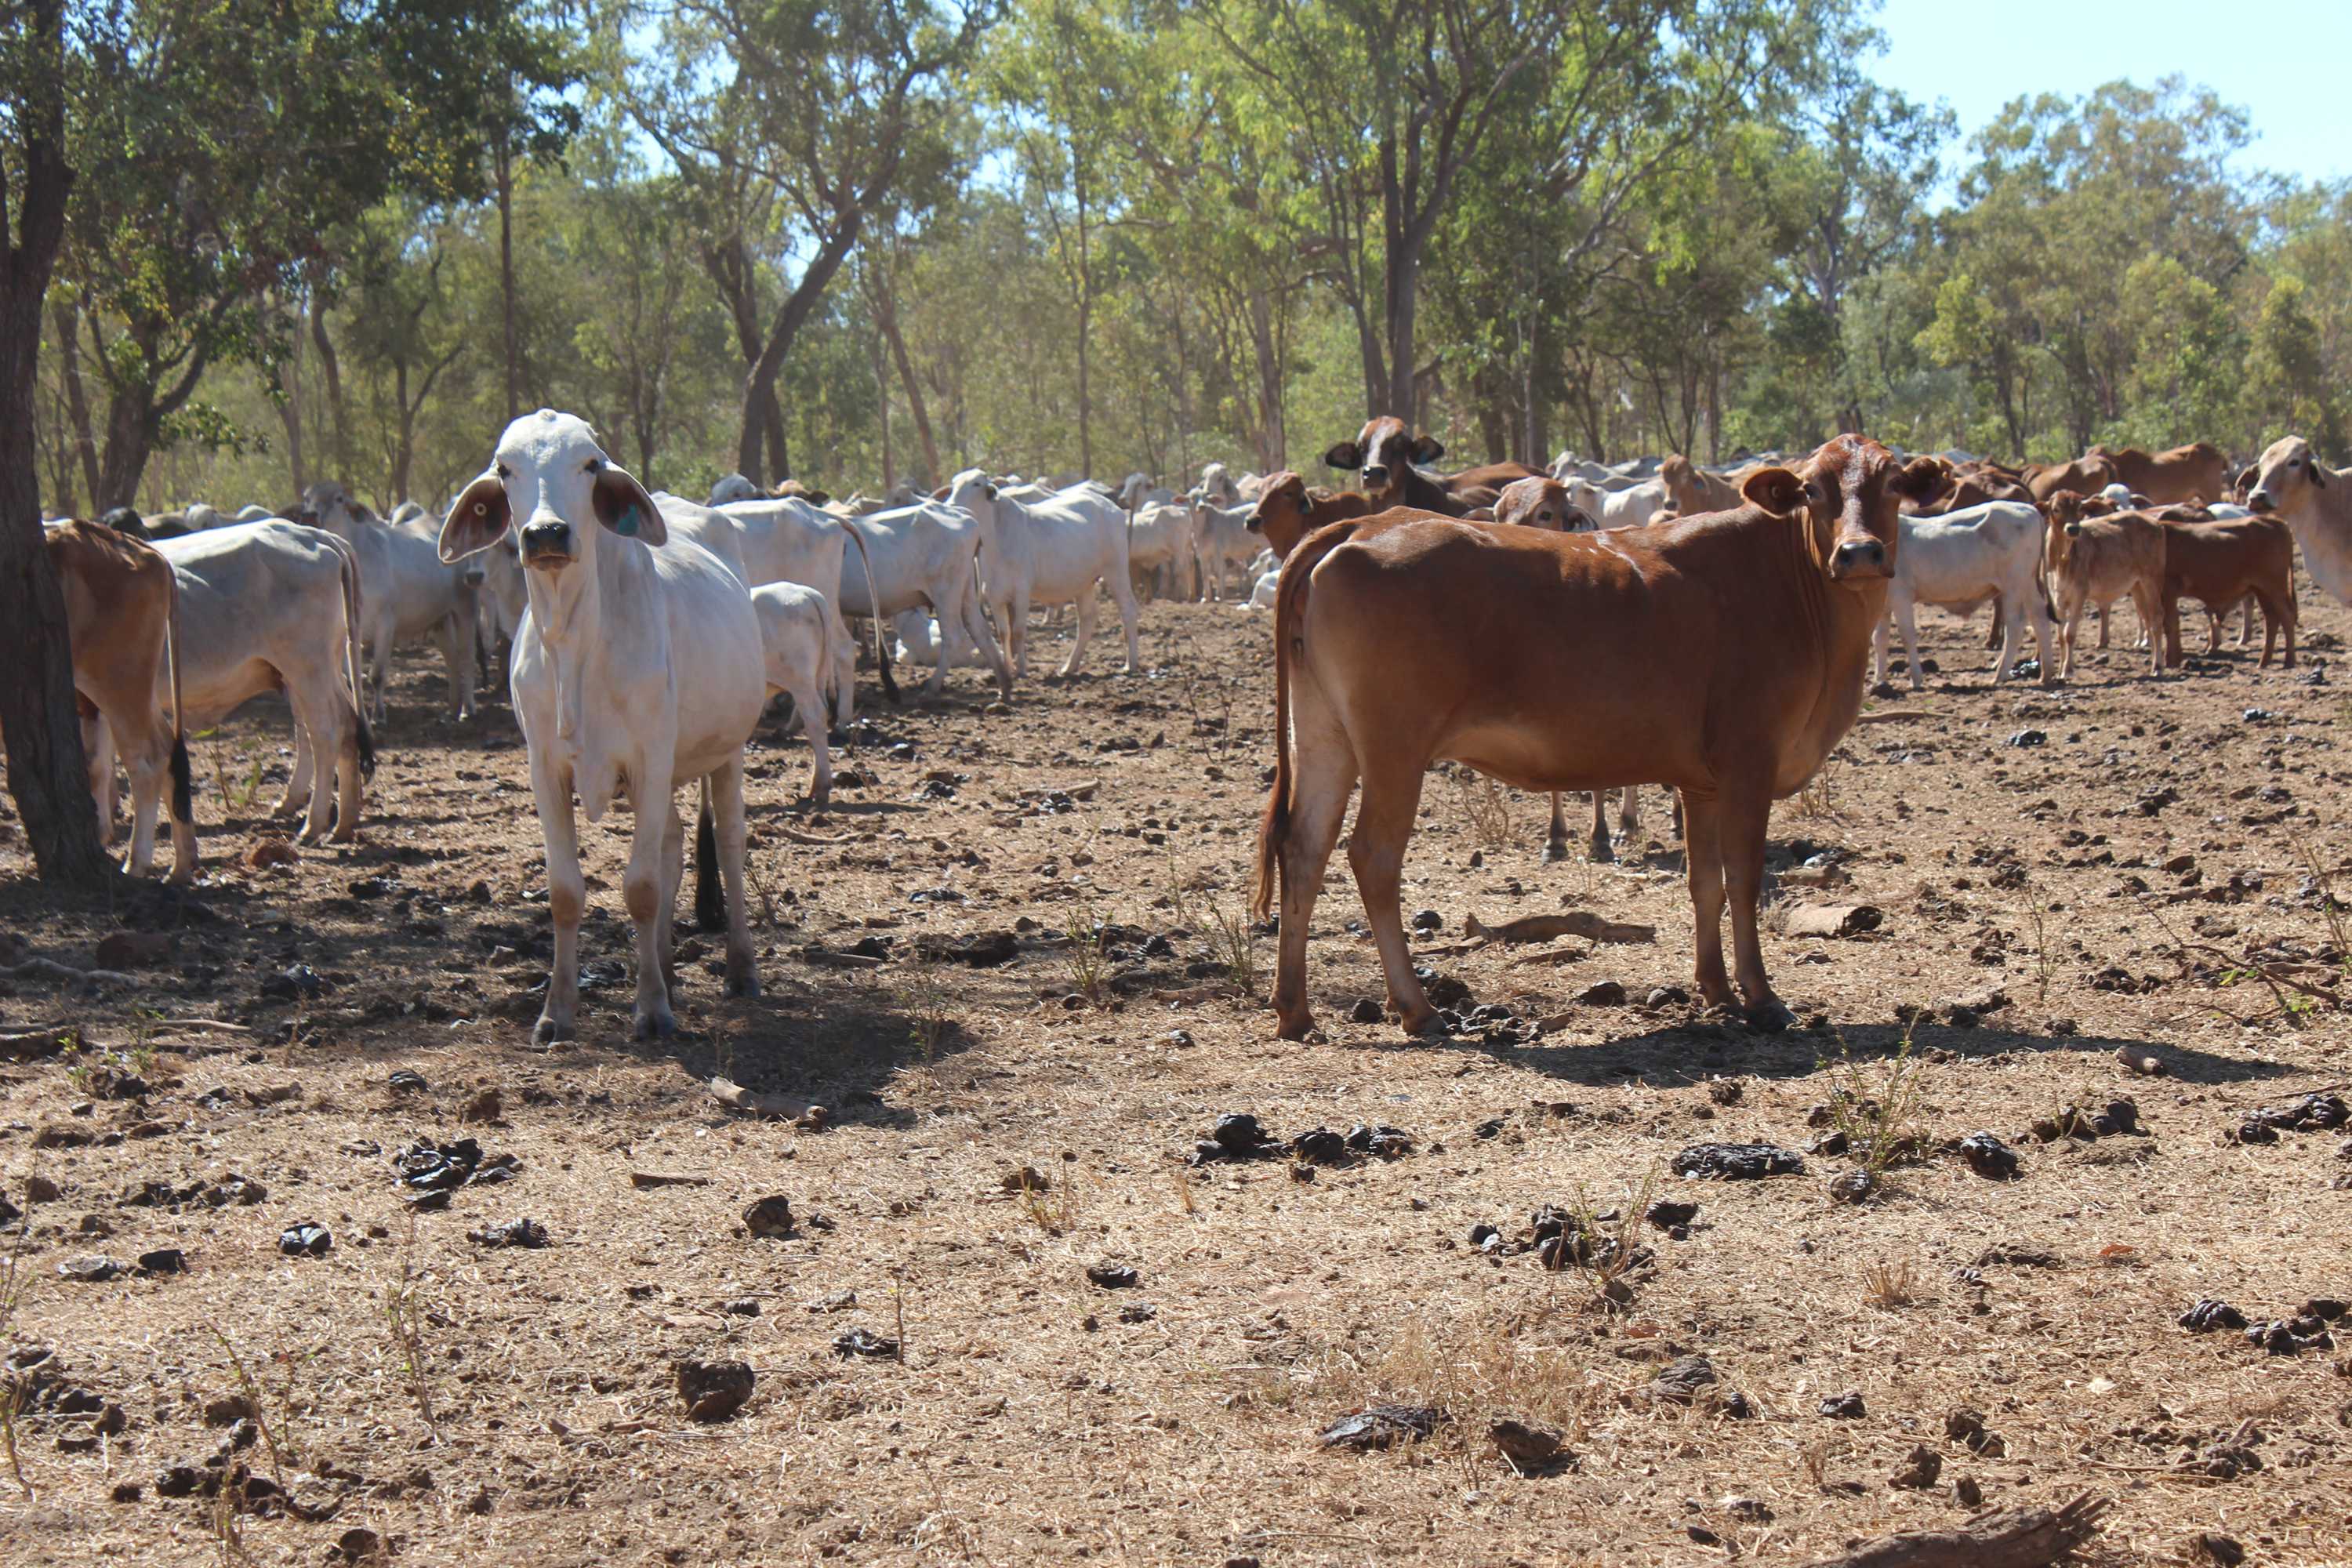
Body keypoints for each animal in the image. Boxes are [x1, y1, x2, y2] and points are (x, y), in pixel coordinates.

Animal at [43, 520, 195, 879]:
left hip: (116, 682)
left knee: (149, 761)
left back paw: (136, 861)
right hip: (133, 688)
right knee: (168, 751)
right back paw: (182, 863)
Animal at [296, 481, 481, 722]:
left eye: (339, 498)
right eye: (307, 498)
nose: (310, 515)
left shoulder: (386, 623)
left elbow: (377, 675)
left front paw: (379, 714)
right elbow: (350, 677)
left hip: (465, 607)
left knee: (467, 657)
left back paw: (467, 708)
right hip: (439, 619)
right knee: (452, 659)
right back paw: (451, 708)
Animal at [437, 410, 766, 1044]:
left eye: (590, 464)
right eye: (505, 468)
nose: (545, 534)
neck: (573, 641)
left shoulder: (649, 759)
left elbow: (640, 888)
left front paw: (652, 1011)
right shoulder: (546, 770)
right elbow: (567, 891)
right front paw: (558, 1012)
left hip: (727, 751)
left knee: (730, 844)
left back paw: (740, 968)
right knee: (671, 845)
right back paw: (664, 967)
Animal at [1254, 434, 1935, 1038]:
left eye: (1893, 484)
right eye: (1813, 489)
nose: (1860, 553)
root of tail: (1364, 524)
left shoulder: (1703, 781)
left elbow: (1704, 882)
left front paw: (1715, 989)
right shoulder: (1751, 760)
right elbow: (1743, 879)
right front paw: (1762, 998)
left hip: (1323, 736)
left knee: (1304, 848)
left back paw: (1295, 1011)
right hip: (1393, 748)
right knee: (1371, 856)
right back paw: (1418, 1010)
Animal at [1874, 501, 2055, 691]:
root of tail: (2030, 509)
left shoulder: (1902, 597)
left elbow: (1906, 635)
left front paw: (1916, 679)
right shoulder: (1883, 605)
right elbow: (1880, 638)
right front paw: (1880, 680)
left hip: (2013, 586)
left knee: (2014, 627)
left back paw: (2000, 675)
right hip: (2027, 584)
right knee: (2039, 617)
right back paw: (2046, 674)